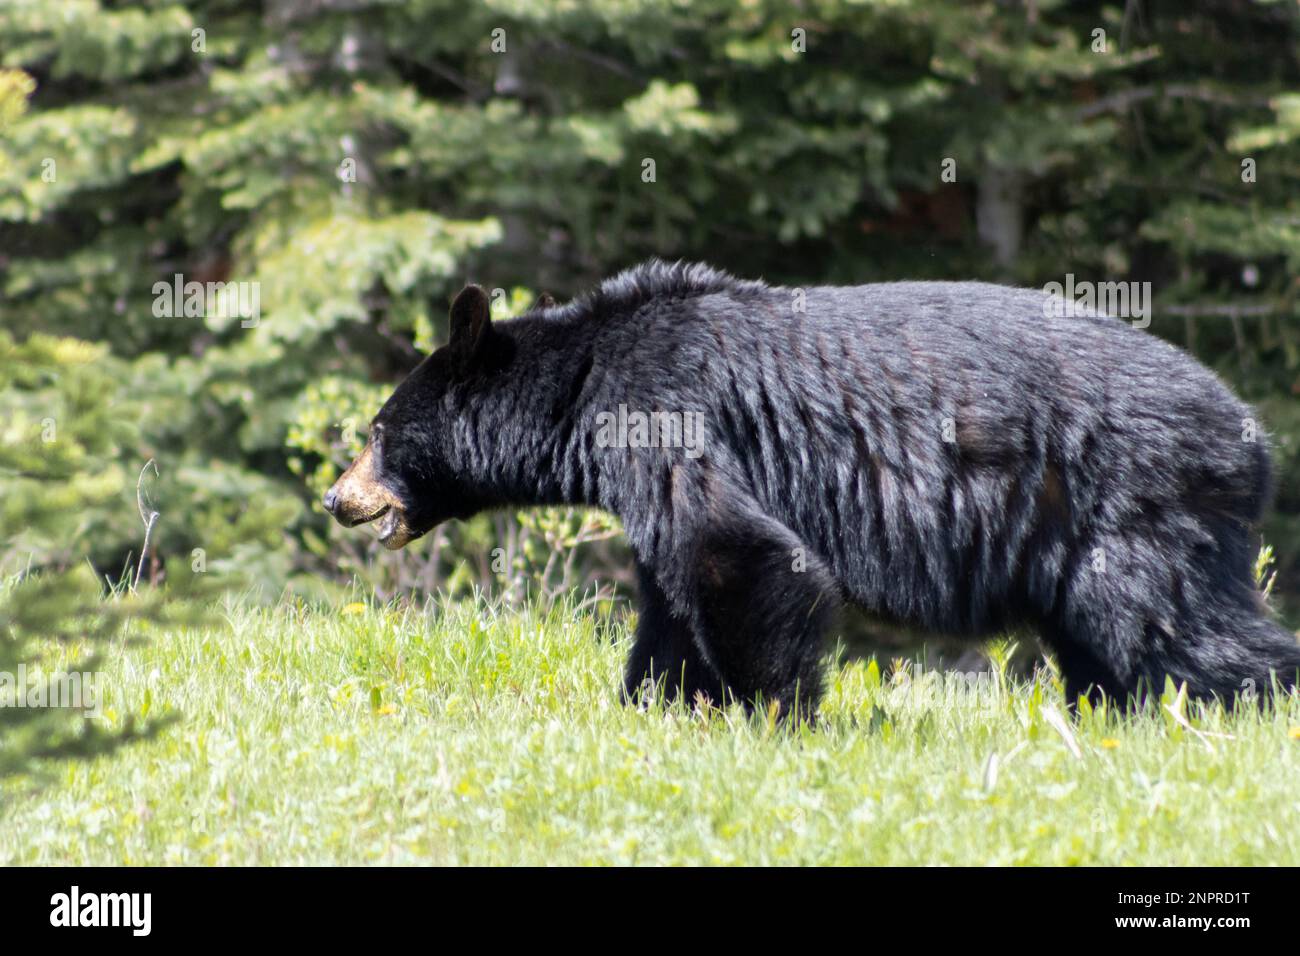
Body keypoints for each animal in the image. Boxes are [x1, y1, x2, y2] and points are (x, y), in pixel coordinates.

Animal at [323, 260, 1300, 717]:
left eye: (376, 431)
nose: (339, 499)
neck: (583, 384)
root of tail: (1252, 437)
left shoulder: (664, 414)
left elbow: (735, 550)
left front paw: (775, 717)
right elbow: (673, 596)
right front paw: (659, 703)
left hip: (1133, 499)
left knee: (1176, 624)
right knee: (1109, 638)